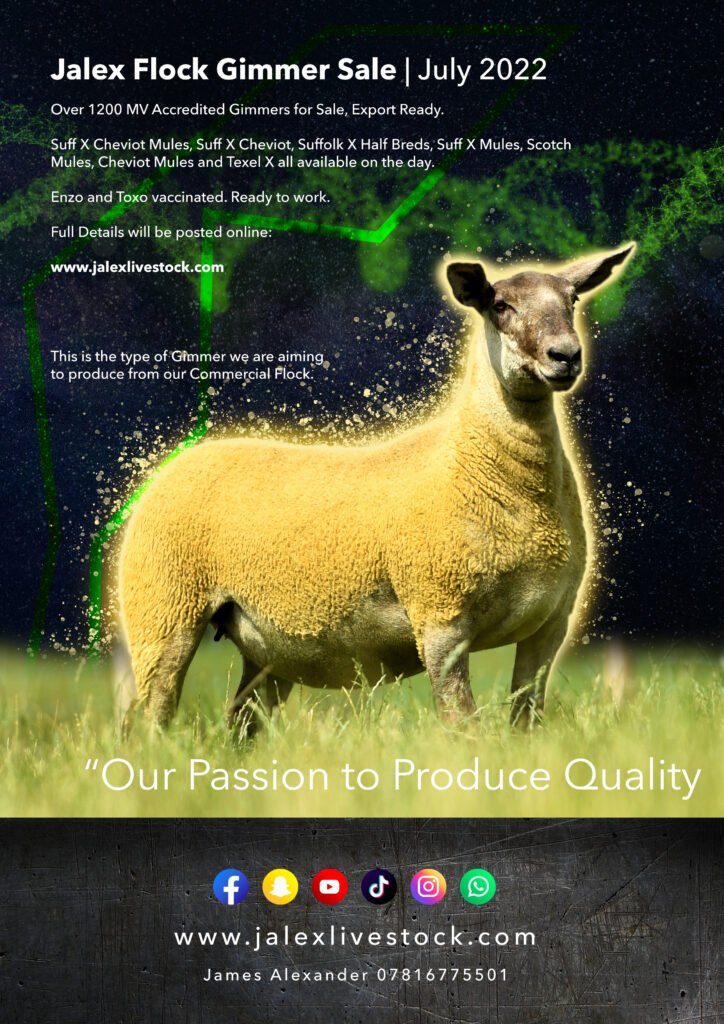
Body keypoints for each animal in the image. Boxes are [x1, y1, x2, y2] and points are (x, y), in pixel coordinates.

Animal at [119, 244, 634, 731]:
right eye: (501, 306)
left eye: (571, 300)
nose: (565, 355)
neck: (481, 467)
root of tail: (176, 463)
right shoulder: (439, 614)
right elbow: (463, 724)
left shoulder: (549, 626)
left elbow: (526, 720)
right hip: (162, 610)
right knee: (150, 720)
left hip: (268, 646)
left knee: (241, 721)